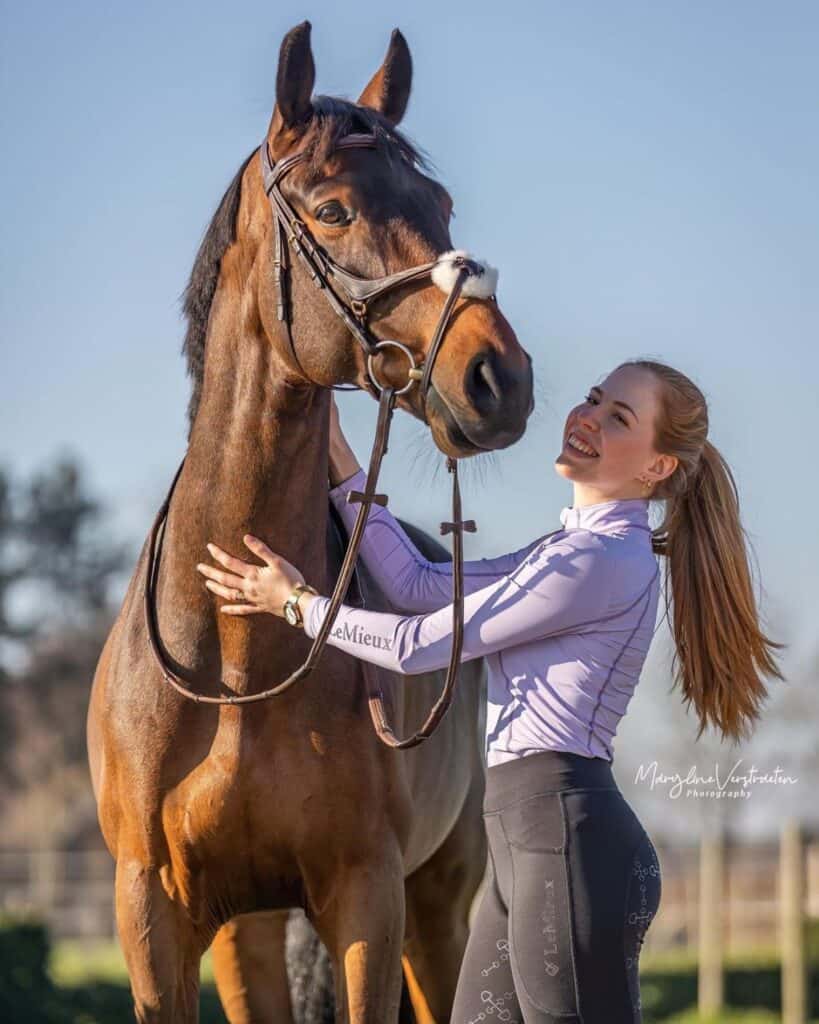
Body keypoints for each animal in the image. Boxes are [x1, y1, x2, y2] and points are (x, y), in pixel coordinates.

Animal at [87, 21, 533, 1023]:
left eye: (441, 204)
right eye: (332, 211)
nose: (499, 378)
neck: (235, 657)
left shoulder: (366, 901)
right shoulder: (160, 920)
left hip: (436, 906)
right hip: (248, 931)